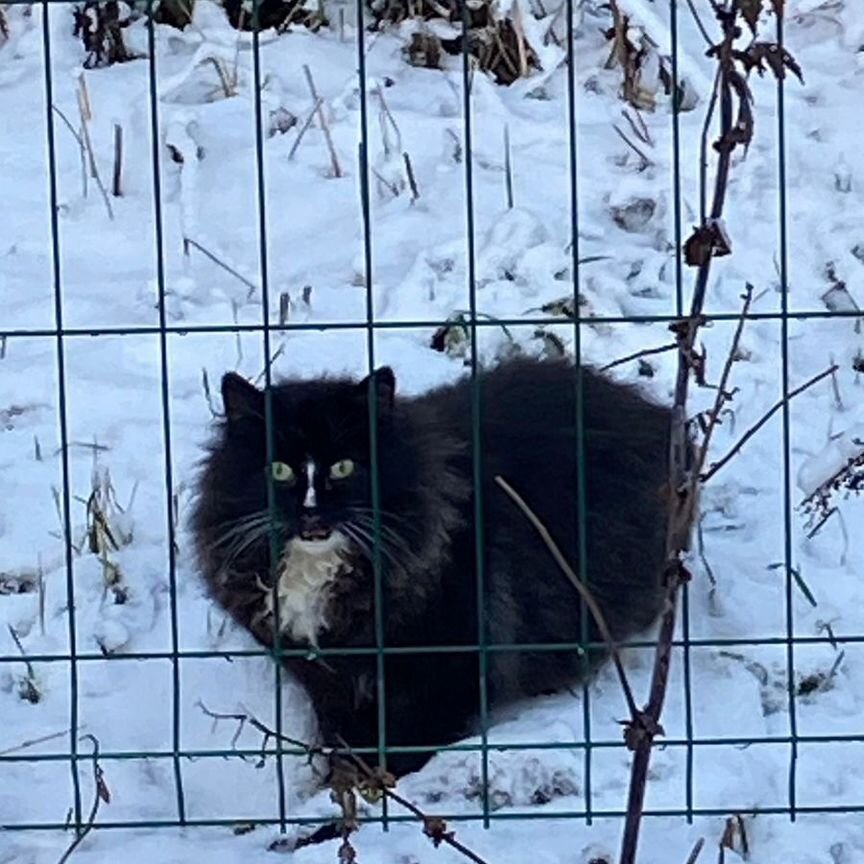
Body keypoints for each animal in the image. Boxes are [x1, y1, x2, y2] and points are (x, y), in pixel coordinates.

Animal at [191, 356, 688, 776]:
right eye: (279, 470)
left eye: (344, 467)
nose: (311, 513)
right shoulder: (326, 682)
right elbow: (343, 740)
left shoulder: (444, 672)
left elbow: (403, 745)